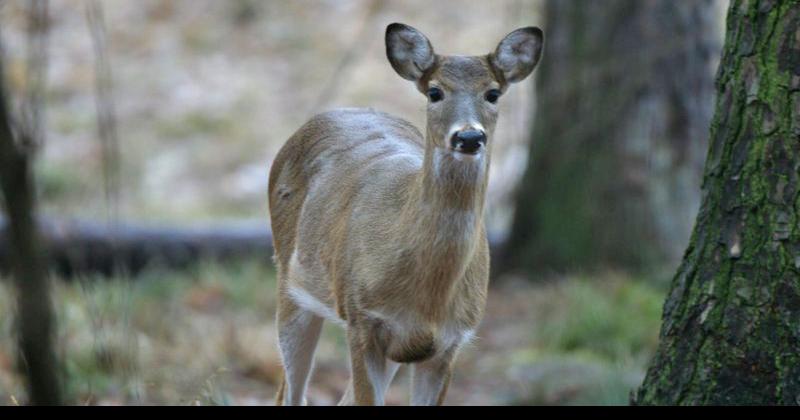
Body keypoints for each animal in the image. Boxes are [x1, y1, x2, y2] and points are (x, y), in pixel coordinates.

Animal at [268, 22, 543, 406]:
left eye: (492, 93)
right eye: (434, 92)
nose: (468, 136)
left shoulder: (448, 343)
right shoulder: (363, 320)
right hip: (289, 282)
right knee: (290, 393)